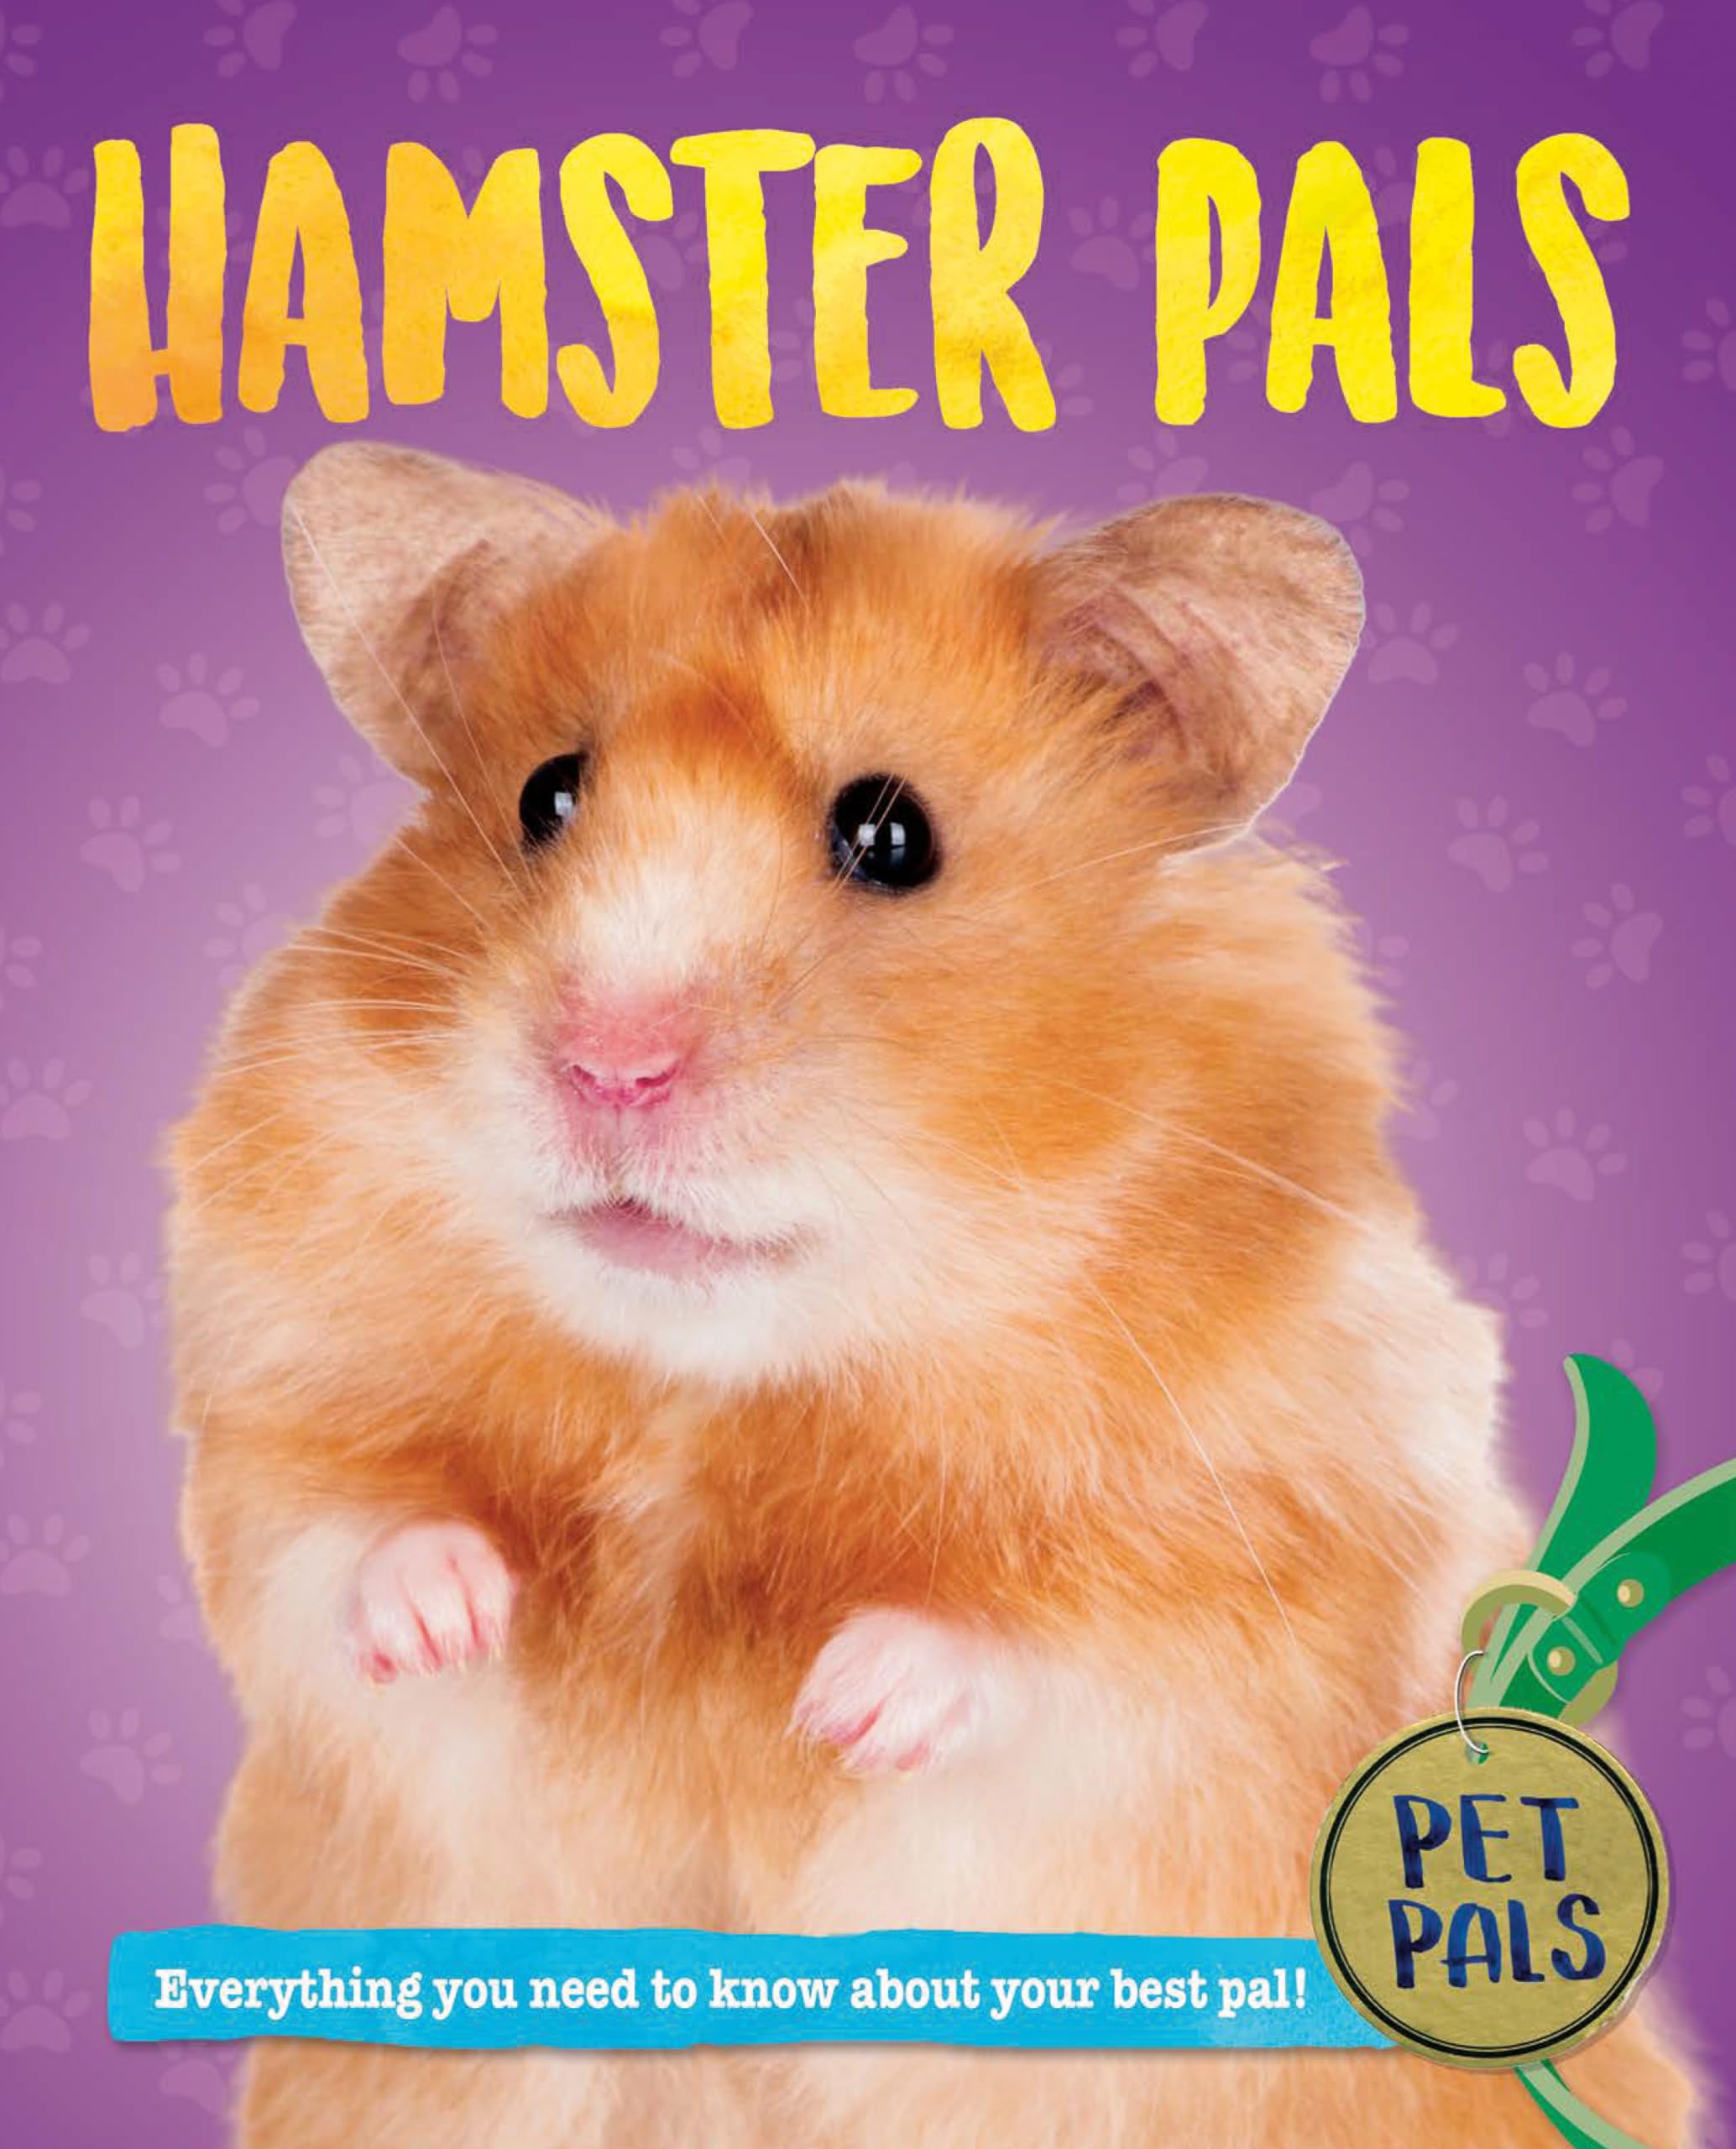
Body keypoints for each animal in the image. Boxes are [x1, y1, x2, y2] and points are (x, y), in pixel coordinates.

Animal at [168, 445, 1696, 2149]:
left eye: (890, 839)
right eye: (544, 796)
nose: (607, 1068)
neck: (727, 1379)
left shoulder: (1271, 1585)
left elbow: (1062, 1660)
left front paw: (841, 1706)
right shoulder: (283, 1446)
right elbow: (342, 1547)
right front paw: (451, 1614)